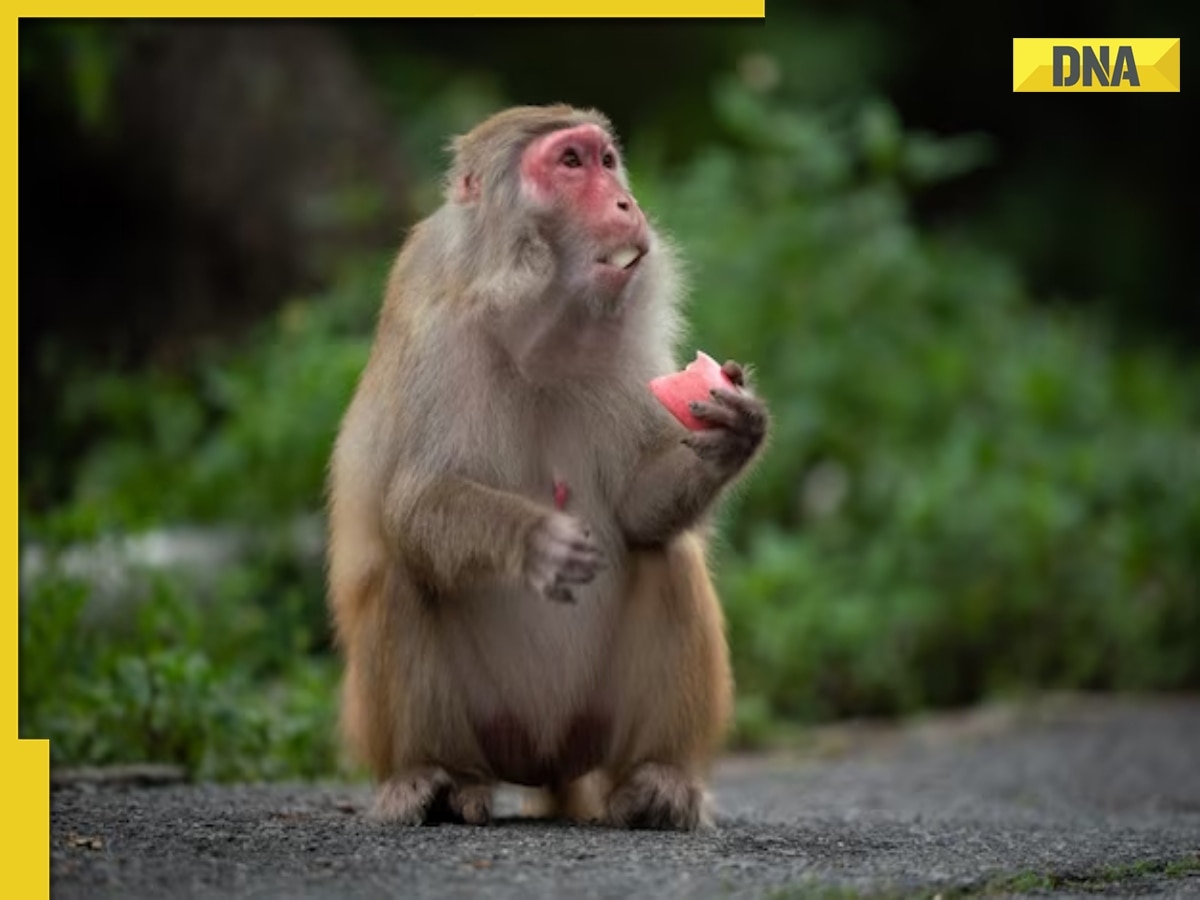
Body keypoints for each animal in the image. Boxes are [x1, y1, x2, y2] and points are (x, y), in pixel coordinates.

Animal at [326, 104, 768, 831]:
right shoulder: (437, 332)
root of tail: (547, 764)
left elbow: (637, 511)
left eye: (607, 161)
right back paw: (434, 779)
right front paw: (536, 540)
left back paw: (658, 780)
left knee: (667, 557)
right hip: (485, 724)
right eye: (570, 163)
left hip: (595, 725)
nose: (625, 202)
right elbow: (412, 503)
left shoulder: (631, 346)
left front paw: (736, 434)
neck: (536, 328)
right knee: (400, 578)